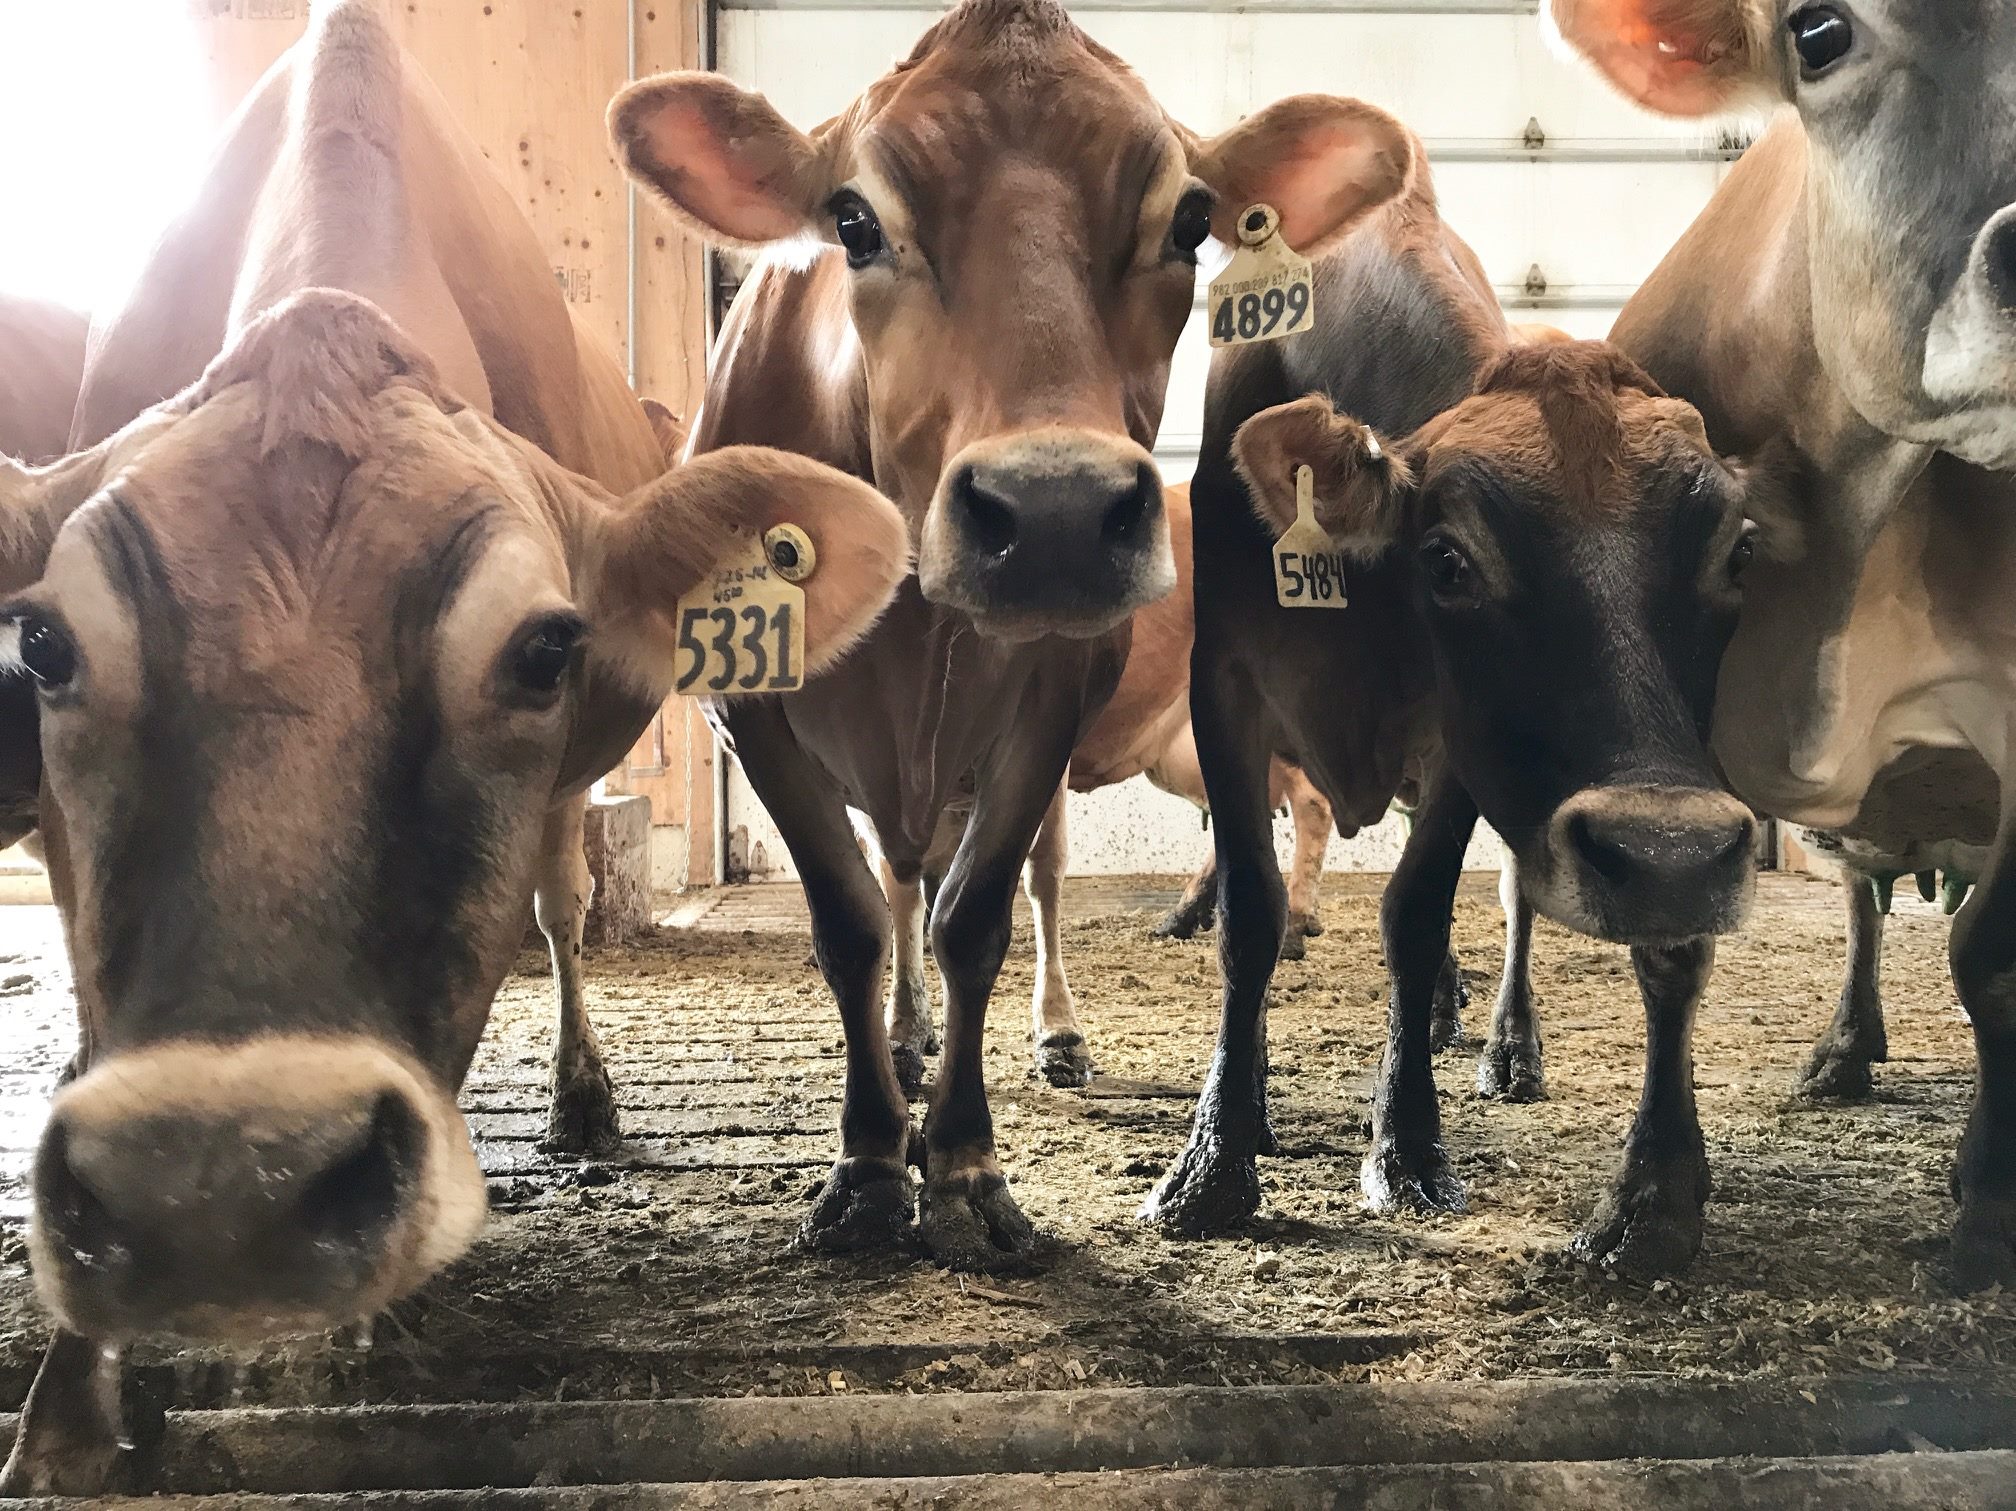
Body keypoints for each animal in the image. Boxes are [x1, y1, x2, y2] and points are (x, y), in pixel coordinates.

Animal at [0, 5, 905, 1495]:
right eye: (44, 643)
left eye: (542, 648)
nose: (218, 1192)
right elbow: (86, 1044)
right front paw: (70, 1411)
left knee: (559, 908)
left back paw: (583, 1107)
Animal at [877, 484, 1337, 1096]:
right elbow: (906, 892)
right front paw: (909, 1033)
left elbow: (1040, 877)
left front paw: (1058, 1035)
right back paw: (1186, 914)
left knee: (1310, 801)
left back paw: (1298, 919)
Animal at [1141, 143, 1764, 1284]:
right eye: (1447, 559)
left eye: (1737, 552)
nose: (1669, 856)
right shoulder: (1227, 687)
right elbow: (1250, 912)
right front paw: (1213, 1160)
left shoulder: (1461, 739)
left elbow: (1418, 911)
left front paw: (1409, 1144)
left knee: (1512, 896)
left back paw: (1496, 1040)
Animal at [1547, 0, 2016, 1290]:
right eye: (1819, 33)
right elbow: (1668, 935)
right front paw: (1648, 1201)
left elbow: (1990, 957)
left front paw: (1985, 1207)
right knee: (1858, 893)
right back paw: (1845, 1047)